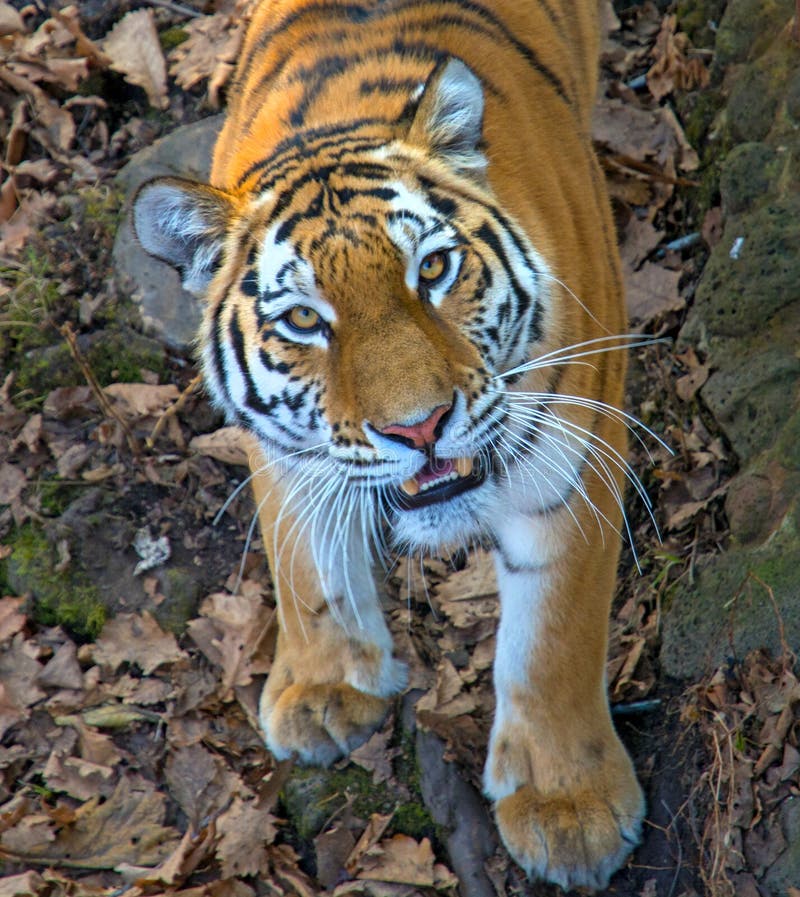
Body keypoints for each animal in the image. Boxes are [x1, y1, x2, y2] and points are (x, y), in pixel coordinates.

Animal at [132, 0, 646, 888]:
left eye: (433, 269)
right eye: (305, 319)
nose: (418, 426)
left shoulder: (575, 443)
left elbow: (553, 632)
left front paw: (568, 807)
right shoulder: (288, 448)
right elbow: (305, 561)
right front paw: (325, 690)